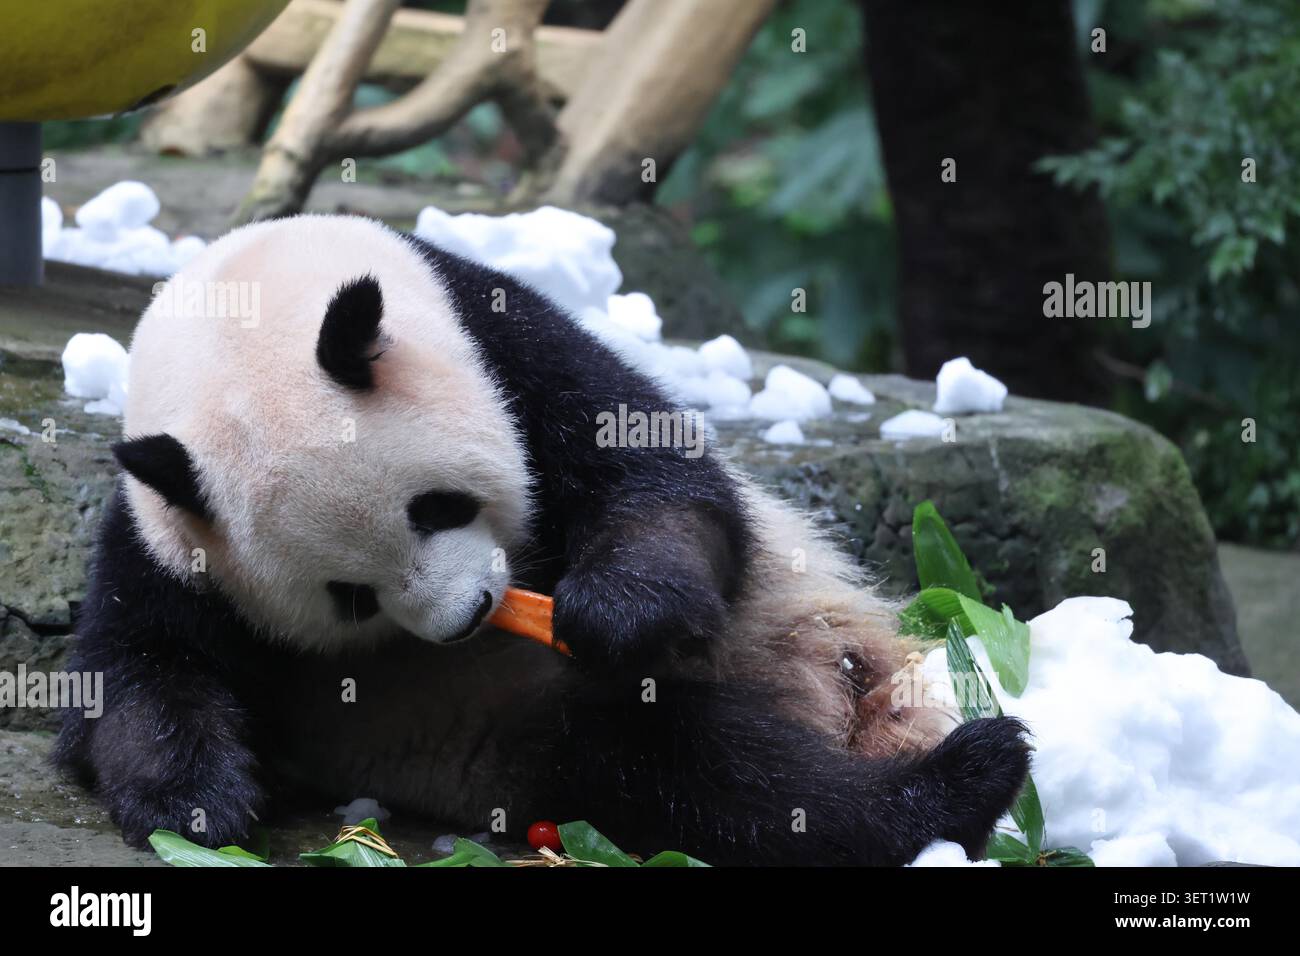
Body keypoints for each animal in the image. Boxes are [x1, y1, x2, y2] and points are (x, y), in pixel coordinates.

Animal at [55, 214, 1030, 866]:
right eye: (350, 596)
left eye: (436, 508)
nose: (469, 617)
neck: (244, 298)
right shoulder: (166, 529)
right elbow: (137, 667)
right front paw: (196, 805)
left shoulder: (502, 341)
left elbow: (658, 482)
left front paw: (612, 614)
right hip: (514, 734)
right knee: (686, 774)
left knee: (728, 776)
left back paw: (966, 774)